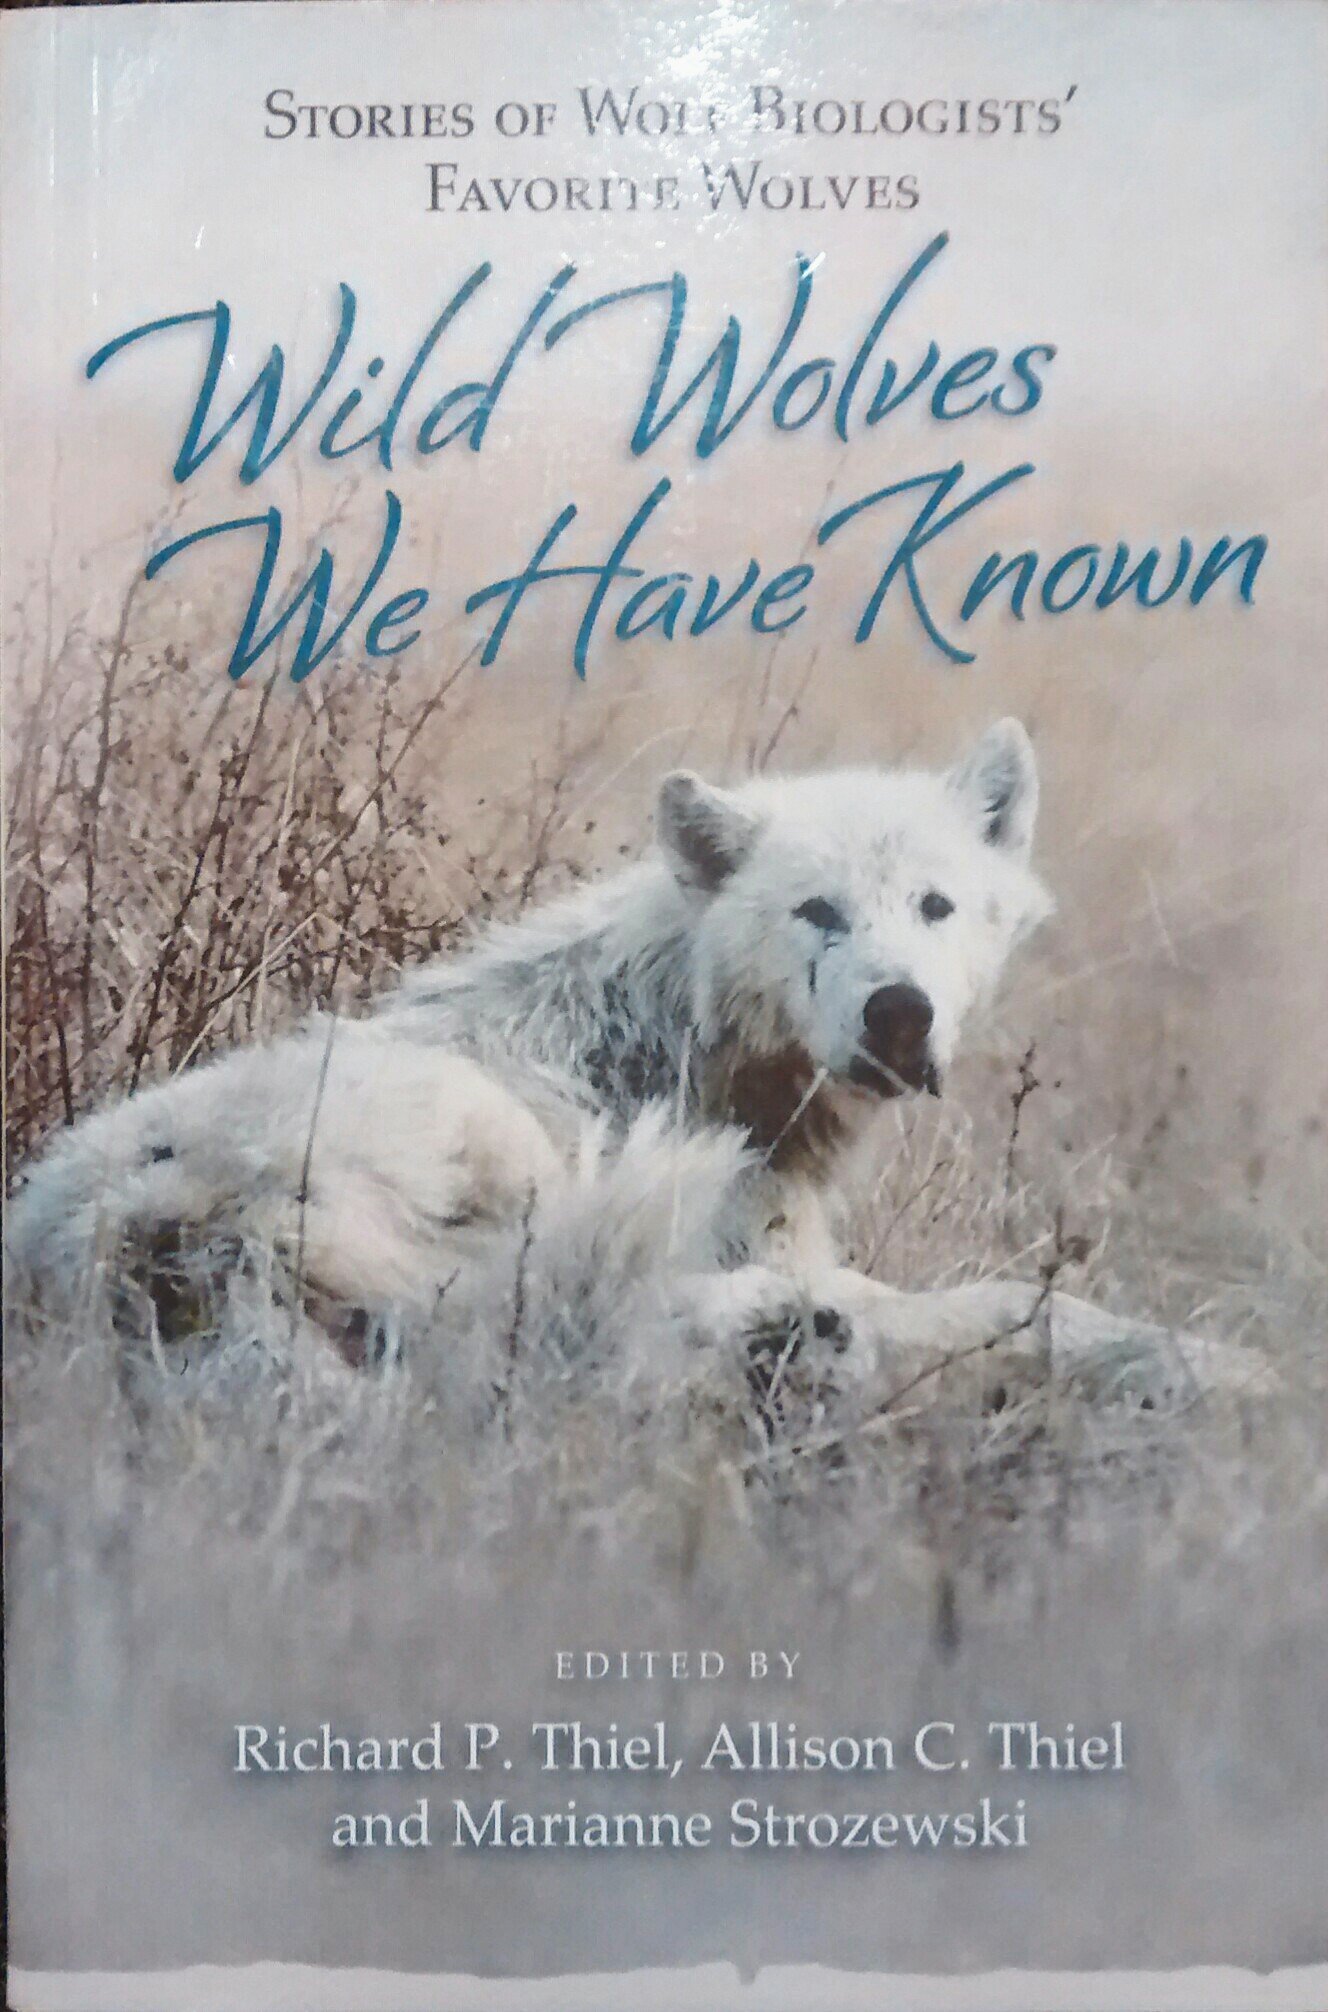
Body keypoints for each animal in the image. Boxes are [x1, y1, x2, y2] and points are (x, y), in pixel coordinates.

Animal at [6, 719, 1249, 1402]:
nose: (899, 1013)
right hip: (487, 1139)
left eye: (935, 905)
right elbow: (1009, 1299)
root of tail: (133, 1236)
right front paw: (1212, 1365)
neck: (678, 1043)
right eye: (817, 911)